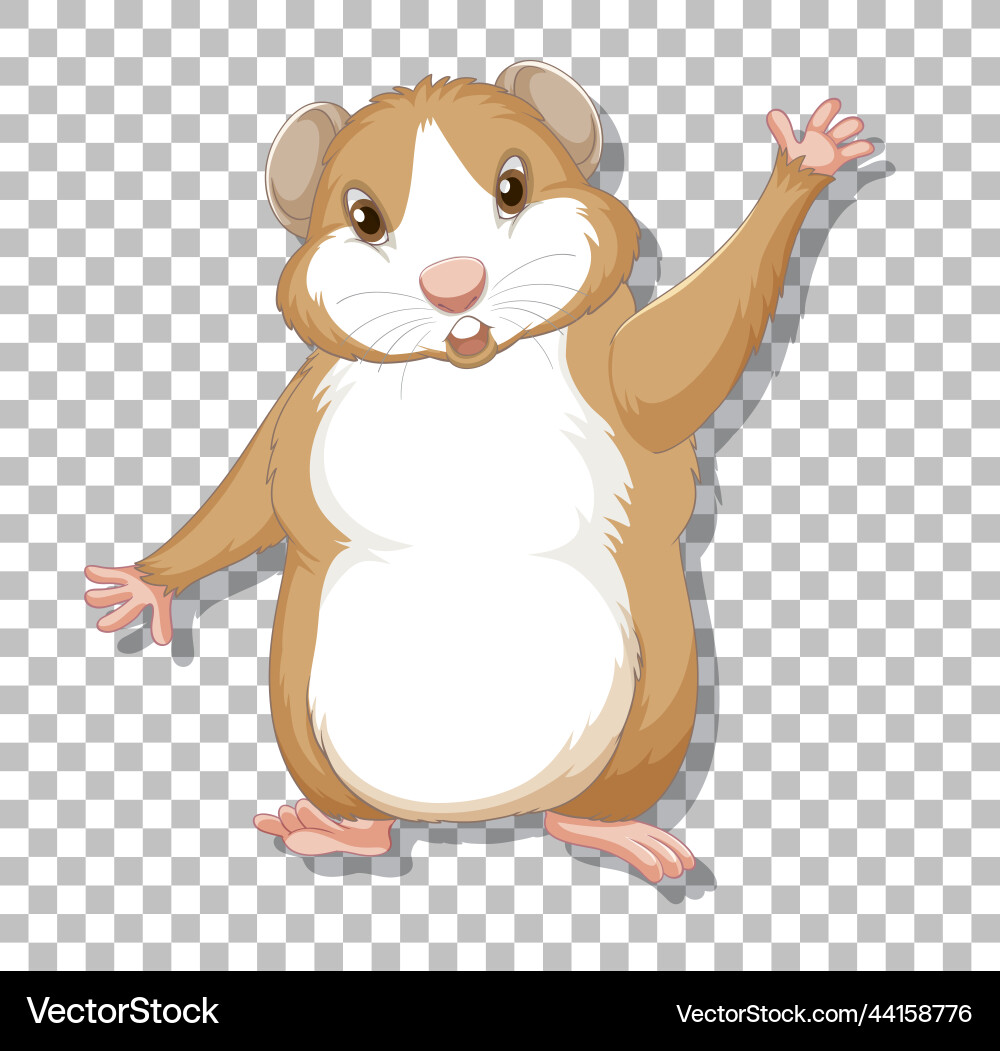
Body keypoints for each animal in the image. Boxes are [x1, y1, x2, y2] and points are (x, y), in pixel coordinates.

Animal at [84, 64, 872, 882]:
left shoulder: (614, 372)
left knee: (586, 807)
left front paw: (806, 161)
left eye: (513, 187)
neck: (465, 369)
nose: (454, 284)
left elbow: (673, 367)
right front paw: (144, 584)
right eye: (364, 217)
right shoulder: (304, 404)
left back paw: (615, 832)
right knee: (370, 818)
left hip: (659, 711)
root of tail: (474, 817)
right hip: (302, 721)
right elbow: (250, 496)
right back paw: (337, 831)